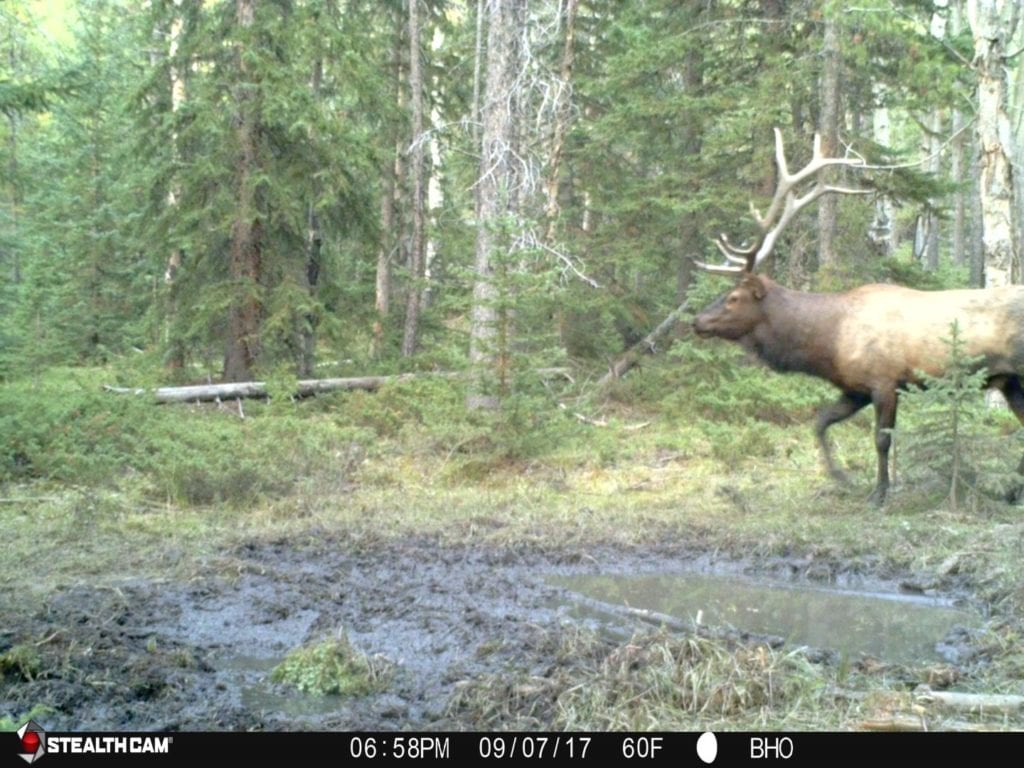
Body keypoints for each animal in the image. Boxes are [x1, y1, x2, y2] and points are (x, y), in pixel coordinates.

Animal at [692, 128, 1024, 504]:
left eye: (733, 298)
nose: (696, 321)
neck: (828, 342)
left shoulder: (885, 382)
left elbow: (882, 440)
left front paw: (879, 493)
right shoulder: (854, 389)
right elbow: (821, 422)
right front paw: (841, 476)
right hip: (1011, 381)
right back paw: (1012, 492)